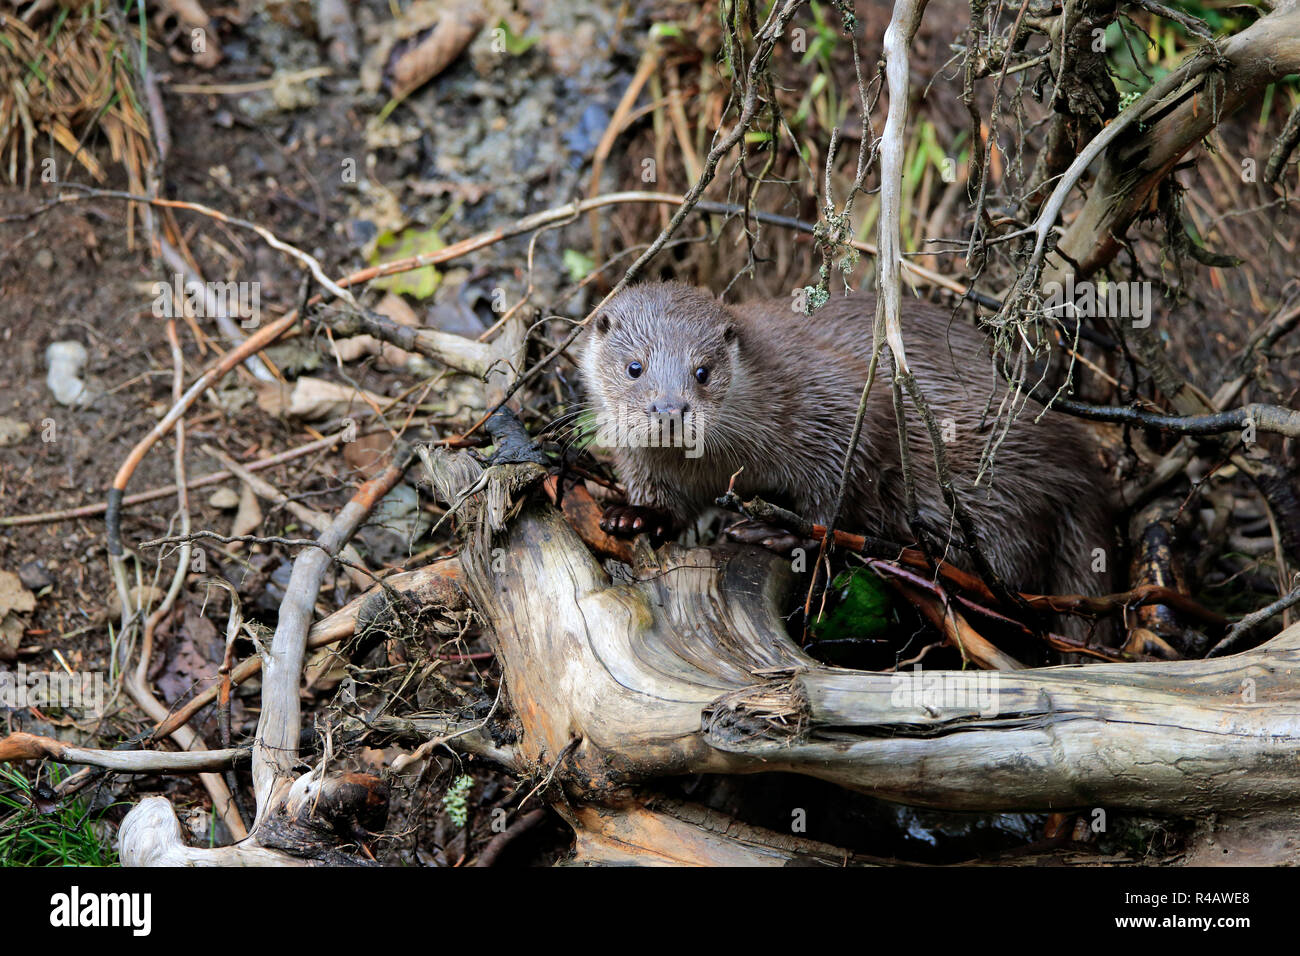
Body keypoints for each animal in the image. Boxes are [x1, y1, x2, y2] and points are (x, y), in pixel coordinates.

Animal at [579, 281, 1113, 611]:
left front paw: (787, 535)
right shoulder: (645, 463)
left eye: (703, 371)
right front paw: (634, 517)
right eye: (634, 367)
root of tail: (1079, 461)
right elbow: (662, 501)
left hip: (994, 477)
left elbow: (841, 487)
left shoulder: (838, 403)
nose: (669, 409)